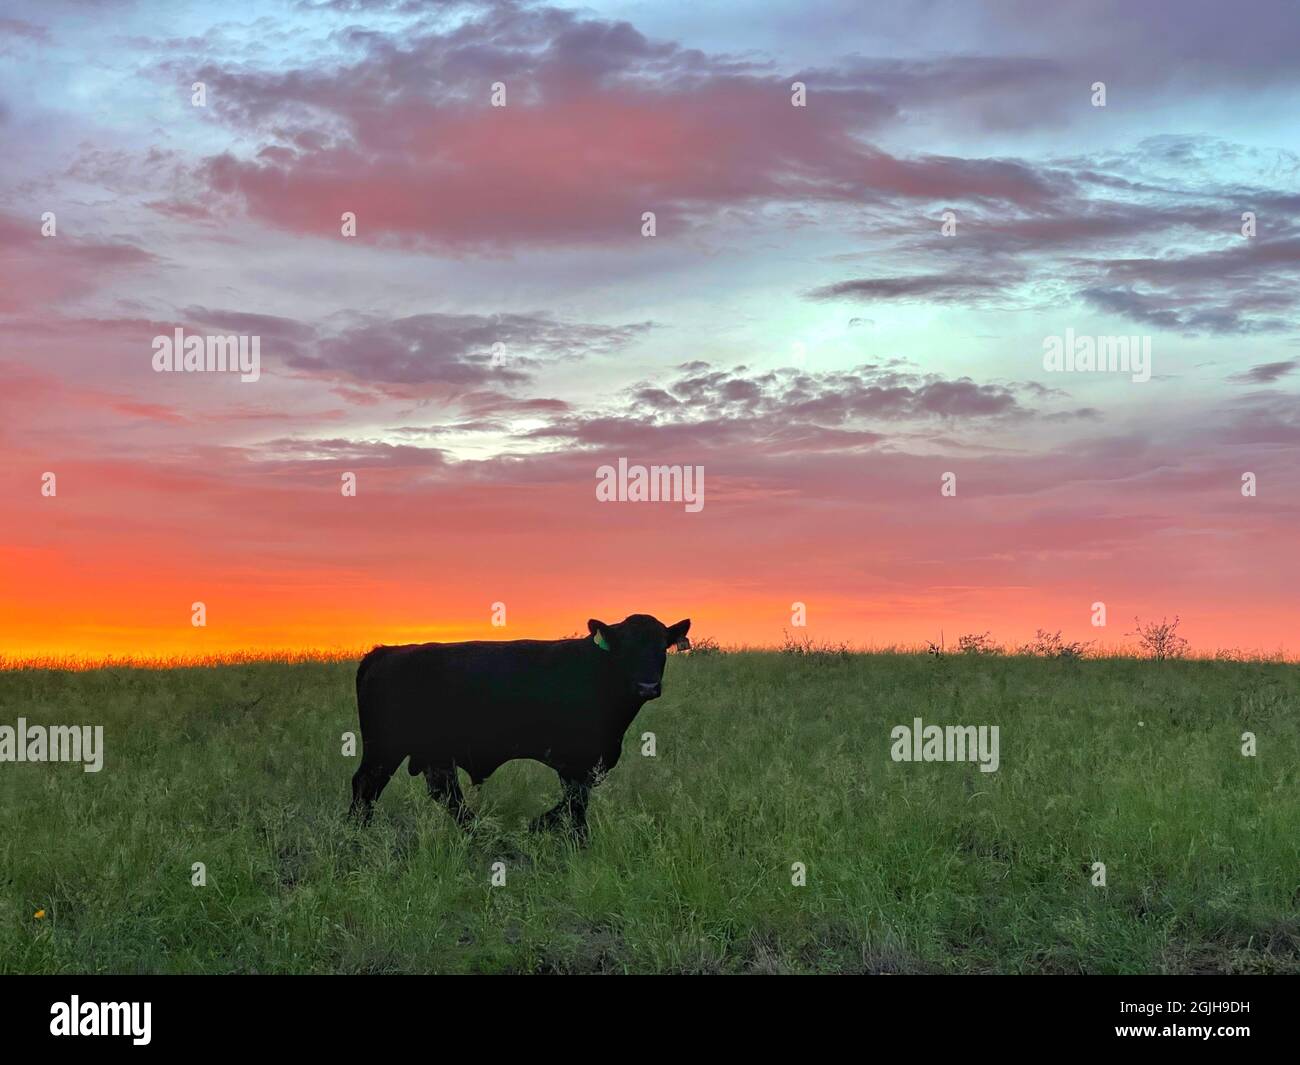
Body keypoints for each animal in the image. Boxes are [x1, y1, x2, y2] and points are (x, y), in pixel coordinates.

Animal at [350, 613, 691, 840]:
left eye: (662, 648)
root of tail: (386, 651)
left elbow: (572, 801)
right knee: (366, 784)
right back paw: (357, 834)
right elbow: (576, 803)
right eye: (625, 649)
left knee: (445, 793)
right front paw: (573, 838)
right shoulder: (575, 762)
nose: (647, 686)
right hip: (385, 749)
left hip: (433, 754)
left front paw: (542, 826)